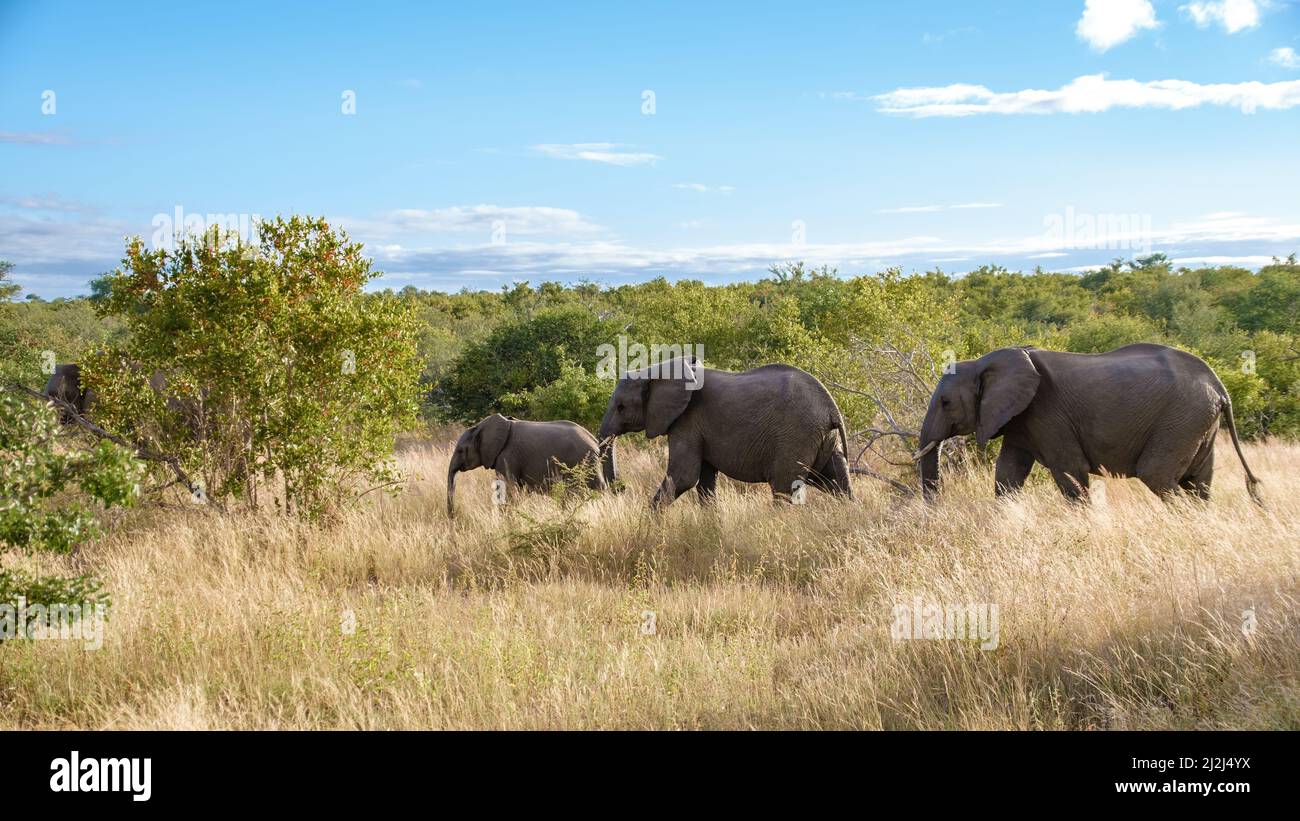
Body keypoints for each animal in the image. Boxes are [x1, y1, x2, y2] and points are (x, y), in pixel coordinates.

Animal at [446, 414, 615, 516]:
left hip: (585, 461)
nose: (453, 517)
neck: (481, 426)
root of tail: (594, 440)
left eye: (460, 450)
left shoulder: (507, 456)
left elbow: (508, 487)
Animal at [598, 356, 851, 509]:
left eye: (620, 407)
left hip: (796, 436)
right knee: (836, 481)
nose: (621, 487)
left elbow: (683, 477)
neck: (655, 369)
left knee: (784, 488)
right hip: (823, 438)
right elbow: (704, 484)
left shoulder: (687, 421)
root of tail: (832, 408)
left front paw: (646, 526)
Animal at [916, 343, 1262, 504]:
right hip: (1199, 423)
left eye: (946, 403)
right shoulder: (1020, 419)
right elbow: (1008, 473)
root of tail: (1220, 388)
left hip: (1181, 420)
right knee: (1198, 483)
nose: (935, 506)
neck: (984, 362)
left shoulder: (1047, 413)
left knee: (1158, 476)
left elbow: (1070, 472)